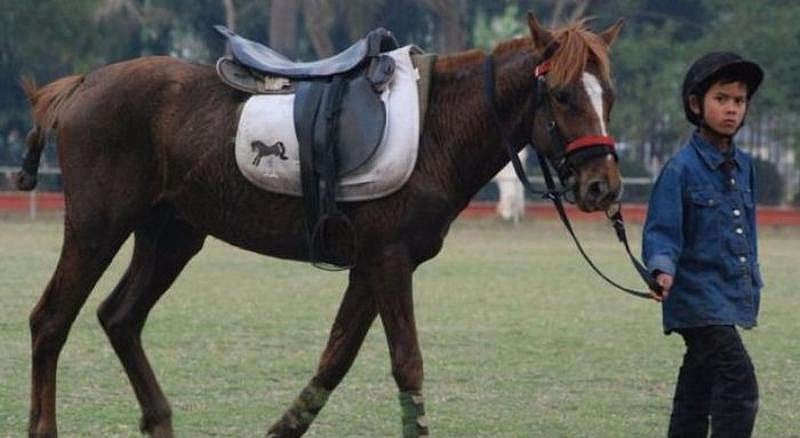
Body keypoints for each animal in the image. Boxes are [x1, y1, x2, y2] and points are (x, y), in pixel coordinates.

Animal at [17, 13, 623, 438]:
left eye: (609, 97)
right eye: (563, 95)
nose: (604, 187)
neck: (436, 128)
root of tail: (80, 84)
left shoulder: (369, 265)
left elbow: (335, 358)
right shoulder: (390, 260)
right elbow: (407, 364)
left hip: (172, 235)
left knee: (120, 316)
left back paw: (160, 419)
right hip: (98, 226)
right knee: (51, 319)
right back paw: (44, 425)